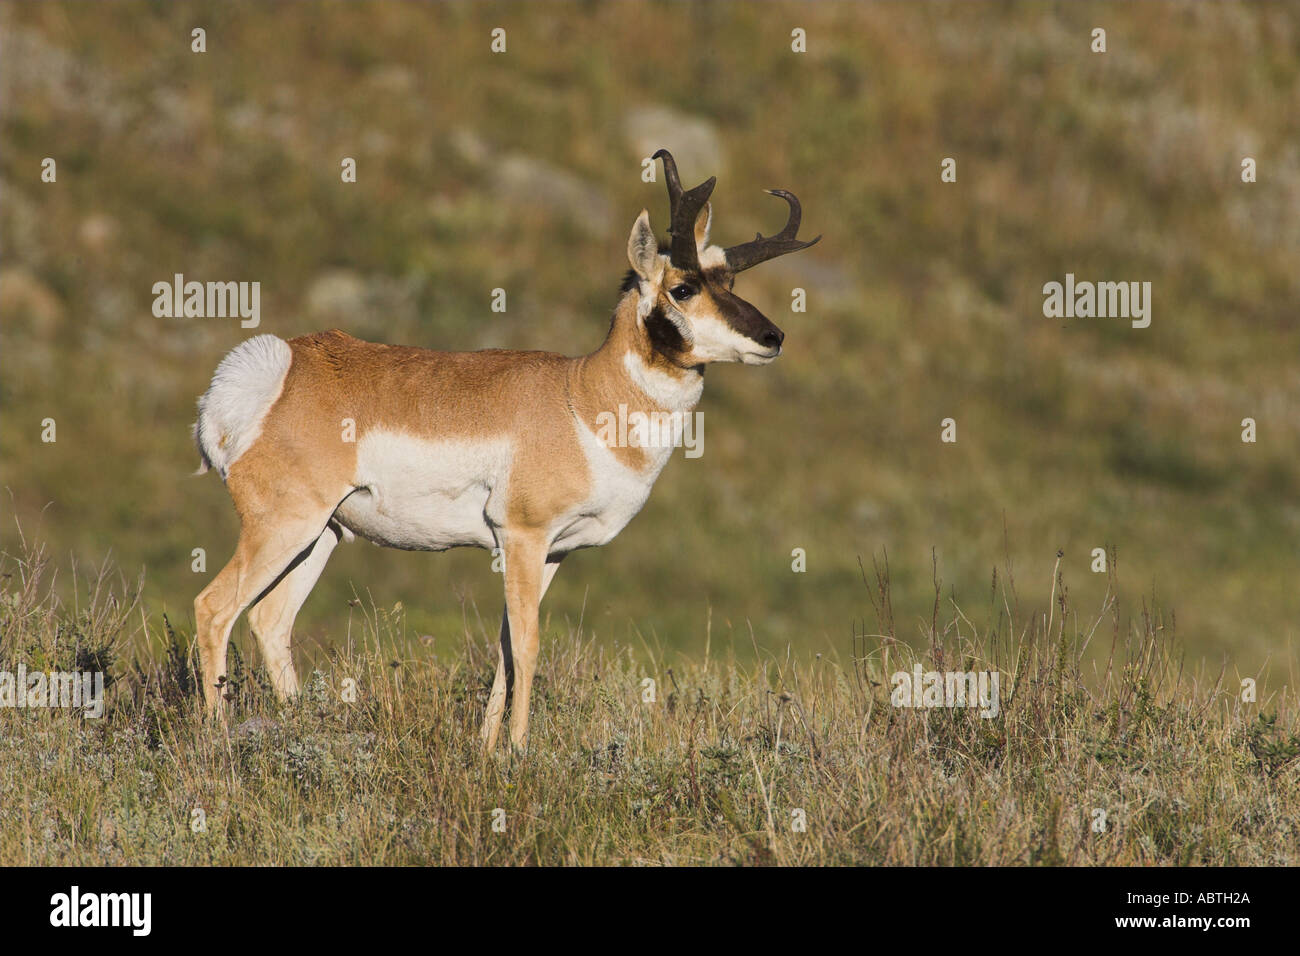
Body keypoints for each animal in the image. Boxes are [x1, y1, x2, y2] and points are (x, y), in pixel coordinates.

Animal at [192, 149, 819, 752]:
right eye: (684, 287)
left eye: (729, 284)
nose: (774, 338)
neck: (581, 397)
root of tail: (280, 367)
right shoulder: (521, 537)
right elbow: (530, 645)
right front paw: (519, 751)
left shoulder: (551, 553)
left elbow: (505, 649)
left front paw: (488, 749)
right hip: (284, 525)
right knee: (214, 607)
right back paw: (218, 737)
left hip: (323, 533)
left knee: (270, 619)